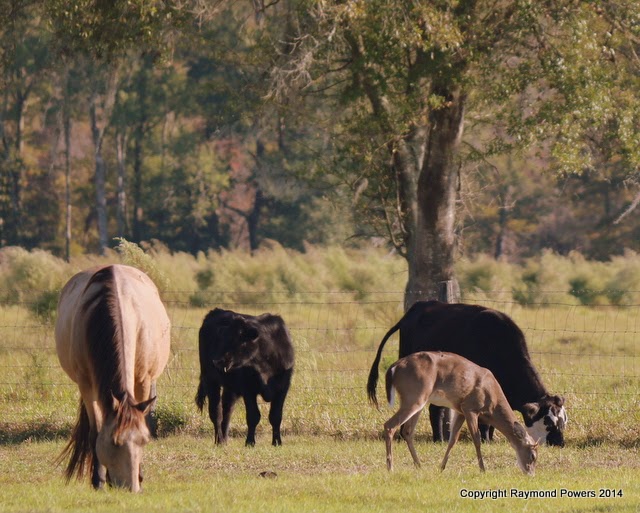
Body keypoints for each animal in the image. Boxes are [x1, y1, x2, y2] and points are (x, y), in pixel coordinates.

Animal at [195, 308, 294, 446]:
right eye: (222, 339)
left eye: (238, 340)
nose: (217, 361)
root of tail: (216, 310)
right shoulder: (248, 388)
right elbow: (253, 416)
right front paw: (250, 442)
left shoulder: (283, 387)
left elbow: (276, 416)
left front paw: (277, 442)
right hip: (210, 379)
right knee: (216, 412)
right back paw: (219, 441)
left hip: (230, 387)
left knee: (227, 410)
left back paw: (225, 440)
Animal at [367, 300, 567, 446]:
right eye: (548, 422)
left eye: (563, 421)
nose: (560, 443)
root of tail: (415, 309)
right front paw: (485, 439)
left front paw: (490, 438)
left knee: (436, 409)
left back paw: (439, 438)